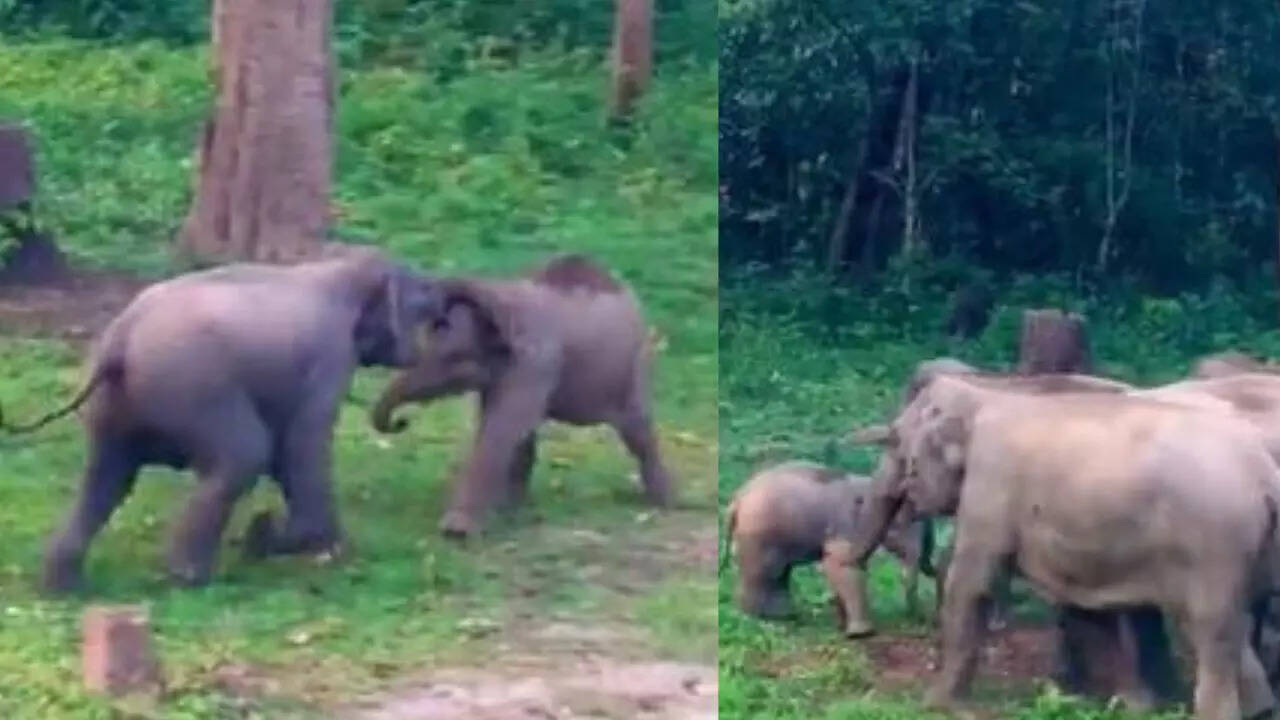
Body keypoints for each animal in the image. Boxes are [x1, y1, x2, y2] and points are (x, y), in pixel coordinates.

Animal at [4, 247, 444, 592]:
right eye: (423, 307)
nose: (403, 424)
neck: (339, 266)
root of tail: (120, 340)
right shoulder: (330, 357)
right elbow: (301, 445)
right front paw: (266, 540)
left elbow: (287, 455)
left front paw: (331, 550)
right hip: (192, 390)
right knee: (244, 456)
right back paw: (189, 577)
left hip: (115, 407)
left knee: (105, 479)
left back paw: (66, 587)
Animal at [369, 254, 673, 539]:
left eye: (455, 358)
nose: (400, 423)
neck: (499, 293)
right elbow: (512, 432)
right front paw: (506, 513)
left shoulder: (537, 361)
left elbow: (499, 430)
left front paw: (457, 531)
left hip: (637, 365)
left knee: (638, 432)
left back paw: (666, 503)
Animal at [723, 461, 934, 636]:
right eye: (897, 526)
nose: (919, 621)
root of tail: (737, 499)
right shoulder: (846, 526)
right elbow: (839, 563)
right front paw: (861, 633)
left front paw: (841, 625)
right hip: (759, 536)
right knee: (766, 573)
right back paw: (757, 618)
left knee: (779, 574)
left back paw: (785, 616)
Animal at [862, 376, 1280, 720]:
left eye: (898, 442)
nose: (863, 633)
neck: (986, 394)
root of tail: (1266, 475)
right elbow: (1096, 606)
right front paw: (1130, 706)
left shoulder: (991, 480)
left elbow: (971, 583)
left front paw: (937, 706)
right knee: (1228, 622)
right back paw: (1260, 710)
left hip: (1215, 540)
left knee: (1211, 625)